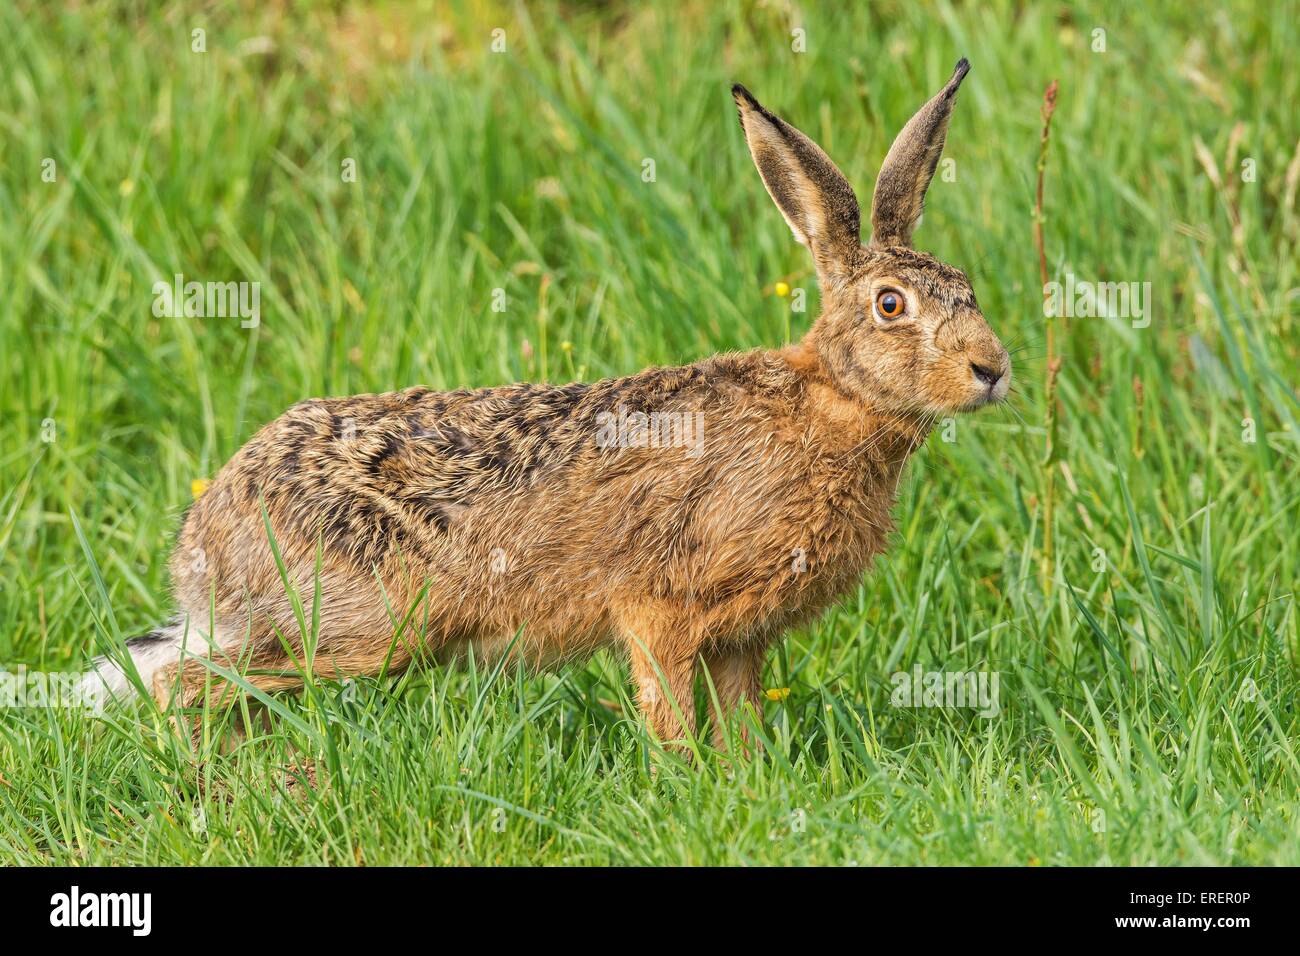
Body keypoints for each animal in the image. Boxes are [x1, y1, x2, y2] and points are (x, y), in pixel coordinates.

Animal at [82, 57, 1008, 749]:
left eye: (965, 285)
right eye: (891, 305)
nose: (992, 369)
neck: (834, 401)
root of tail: (203, 542)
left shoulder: (740, 639)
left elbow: (740, 723)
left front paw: (749, 785)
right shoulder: (660, 610)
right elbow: (671, 715)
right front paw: (686, 786)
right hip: (361, 627)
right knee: (183, 688)